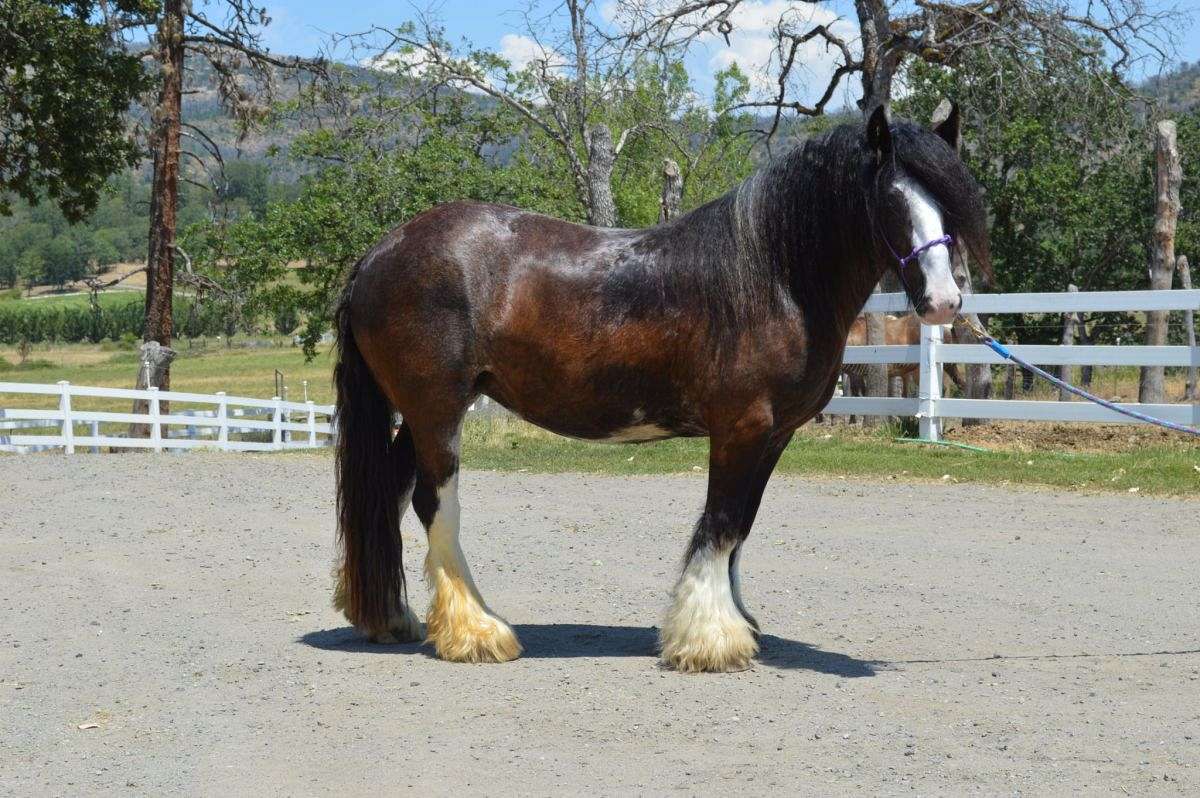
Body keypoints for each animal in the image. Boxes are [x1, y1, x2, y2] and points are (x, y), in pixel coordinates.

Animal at [331, 106, 991, 673]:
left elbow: (741, 526)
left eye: (951, 201)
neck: (774, 279)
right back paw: (476, 632)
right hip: (437, 410)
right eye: (891, 200)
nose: (944, 301)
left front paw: (736, 623)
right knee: (433, 504)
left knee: (390, 495)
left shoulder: (773, 435)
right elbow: (721, 523)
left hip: (418, 414)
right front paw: (710, 640)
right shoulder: (741, 428)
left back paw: (394, 617)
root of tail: (379, 253)